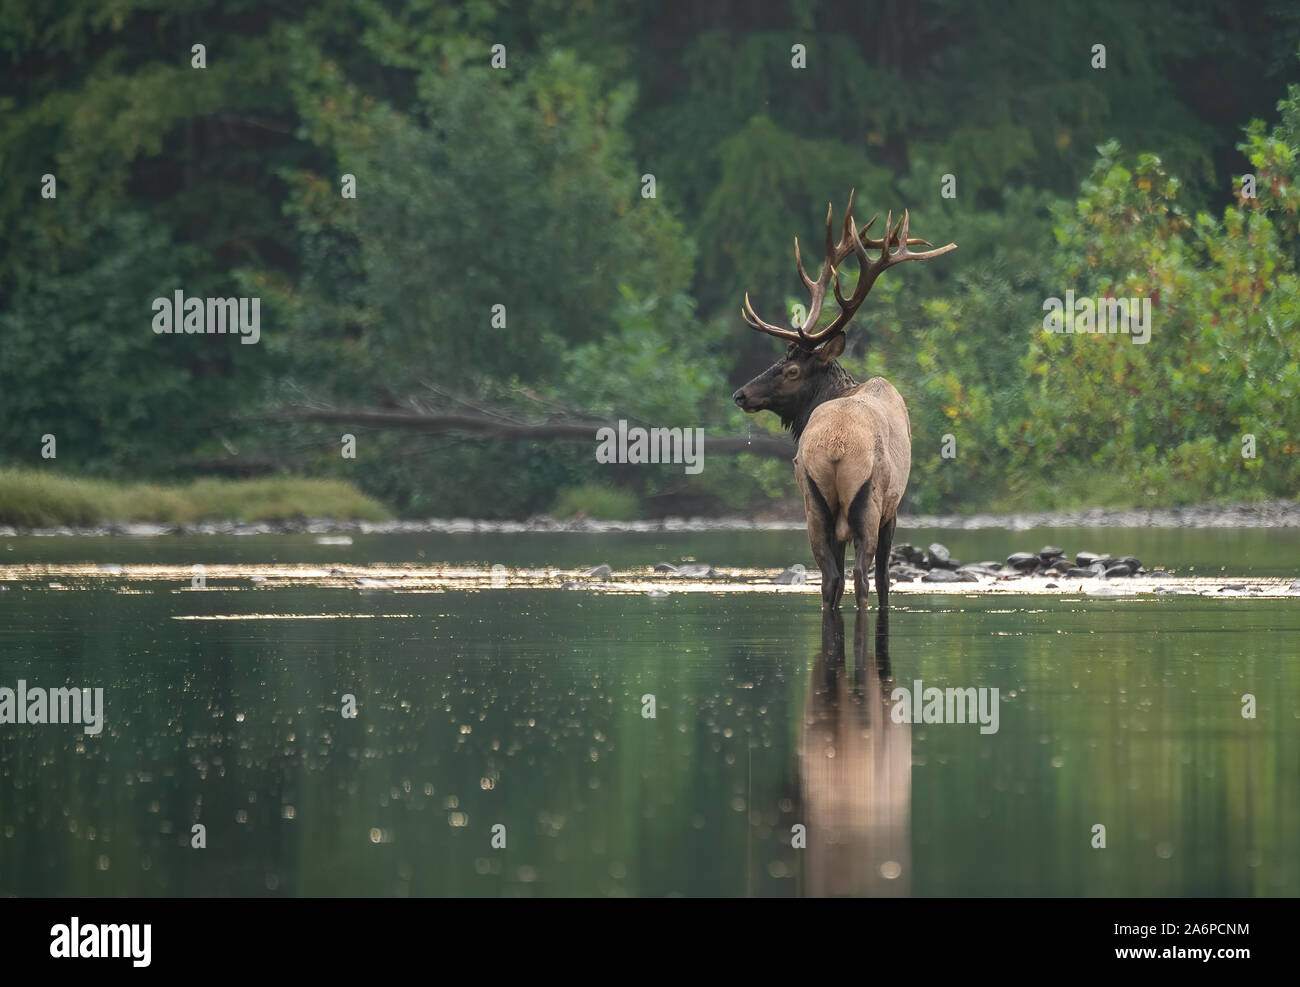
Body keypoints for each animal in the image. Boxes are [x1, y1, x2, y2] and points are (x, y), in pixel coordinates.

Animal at [732, 191, 955, 616]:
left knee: (830, 579)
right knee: (863, 577)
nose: (741, 394)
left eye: (790, 369)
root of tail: (835, 451)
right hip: (868, 501)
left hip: (812, 502)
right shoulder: (893, 507)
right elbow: (884, 578)